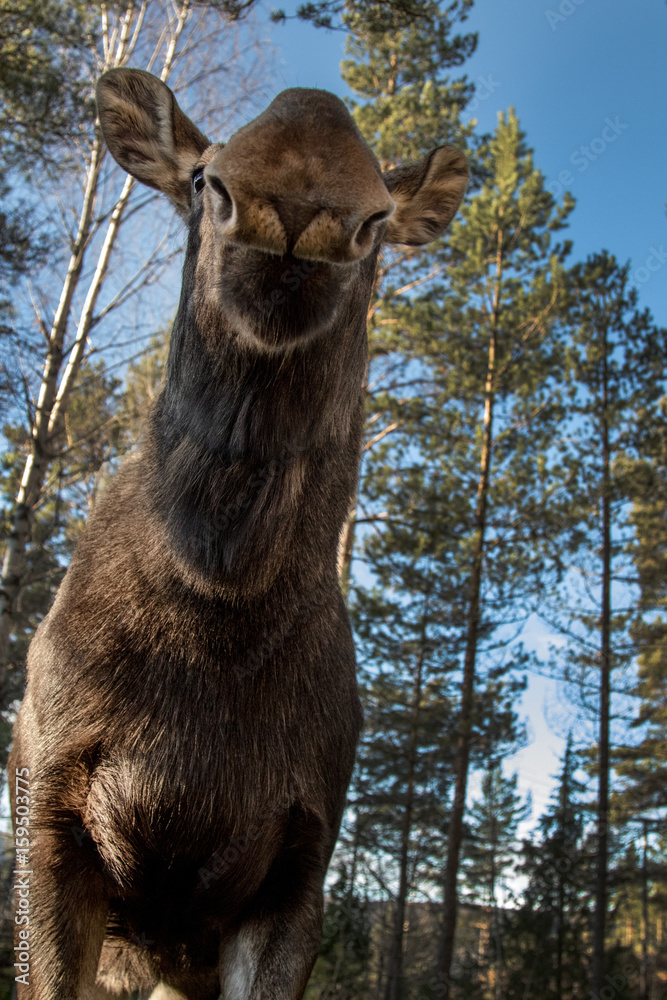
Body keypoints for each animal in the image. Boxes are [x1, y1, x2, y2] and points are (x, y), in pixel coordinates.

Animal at [9, 68, 468, 1000]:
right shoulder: (48, 808)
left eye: (379, 216)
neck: (219, 604)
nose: (292, 199)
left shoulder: (300, 862)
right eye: (200, 178)